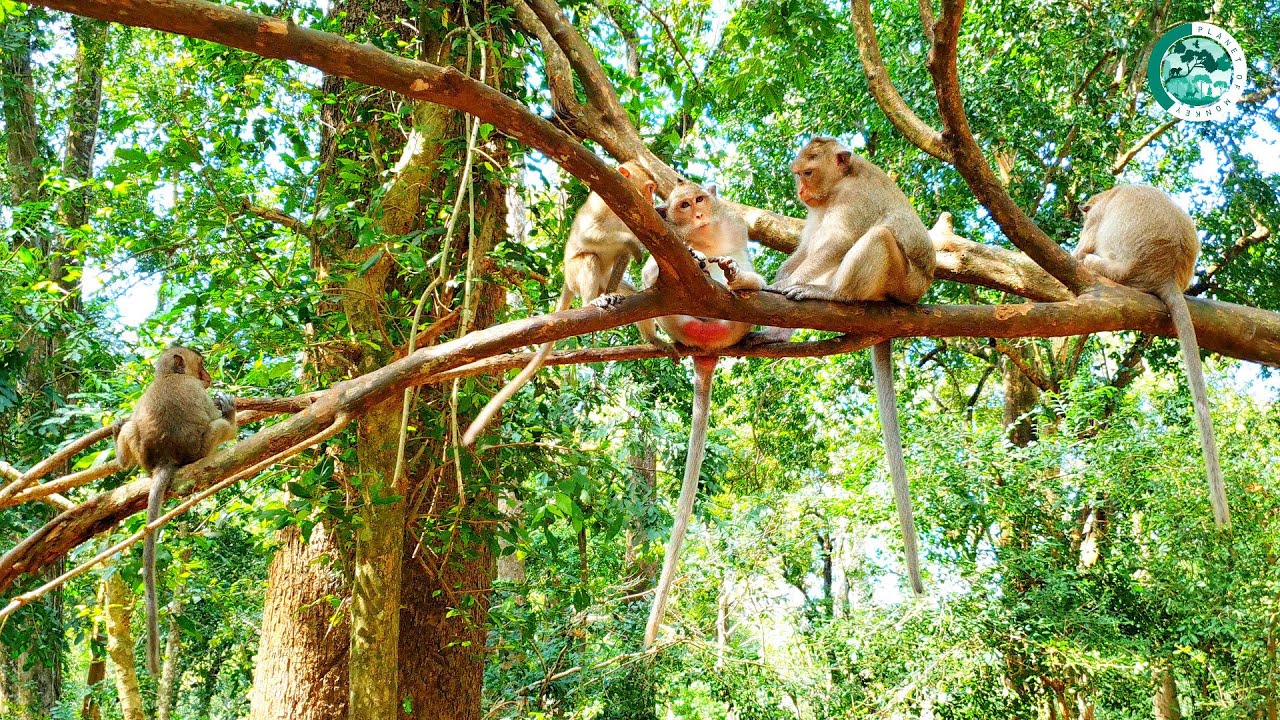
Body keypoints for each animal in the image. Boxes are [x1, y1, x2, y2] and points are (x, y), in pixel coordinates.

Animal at [114, 346, 237, 674]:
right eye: (202, 364)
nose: (208, 375)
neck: (169, 376)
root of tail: (166, 460)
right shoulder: (197, 393)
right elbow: (217, 420)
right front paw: (227, 408)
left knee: (131, 429)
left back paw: (121, 450)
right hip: (201, 449)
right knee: (221, 429)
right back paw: (230, 419)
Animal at [462, 161, 670, 447]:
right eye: (649, 188)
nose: (650, 202)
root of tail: (567, 281)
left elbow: (623, 257)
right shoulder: (602, 205)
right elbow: (590, 236)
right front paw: (632, 243)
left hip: (605, 280)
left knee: (628, 290)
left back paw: (646, 333)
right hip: (574, 273)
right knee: (590, 258)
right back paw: (593, 300)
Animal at [641, 180, 764, 648]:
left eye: (698, 199)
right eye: (680, 205)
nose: (693, 213)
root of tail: (706, 351)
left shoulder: (734, 223)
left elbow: (743, 254)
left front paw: (738, 272)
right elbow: (653, 269)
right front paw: (688, 258)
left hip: (734, 326)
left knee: (749, 288)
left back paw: (742, 289)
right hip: (677, 319)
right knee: (659, 294)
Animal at [753, 136, 934, 596]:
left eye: (808, 172)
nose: (801, 191)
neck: (839, 183)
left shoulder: (854, 199)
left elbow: (837, 243)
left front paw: (784, 285)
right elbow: (804, 249)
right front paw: (777, 282)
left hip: (900, 282)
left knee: (878, 239)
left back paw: (832, 295)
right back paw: (781, 331)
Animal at [1073, 184, 1228, 528]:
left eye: (1085, 214)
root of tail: (1166, 274)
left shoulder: (1096, 217)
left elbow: (1080, 249)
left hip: (1123, 271)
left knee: (1091, 259)